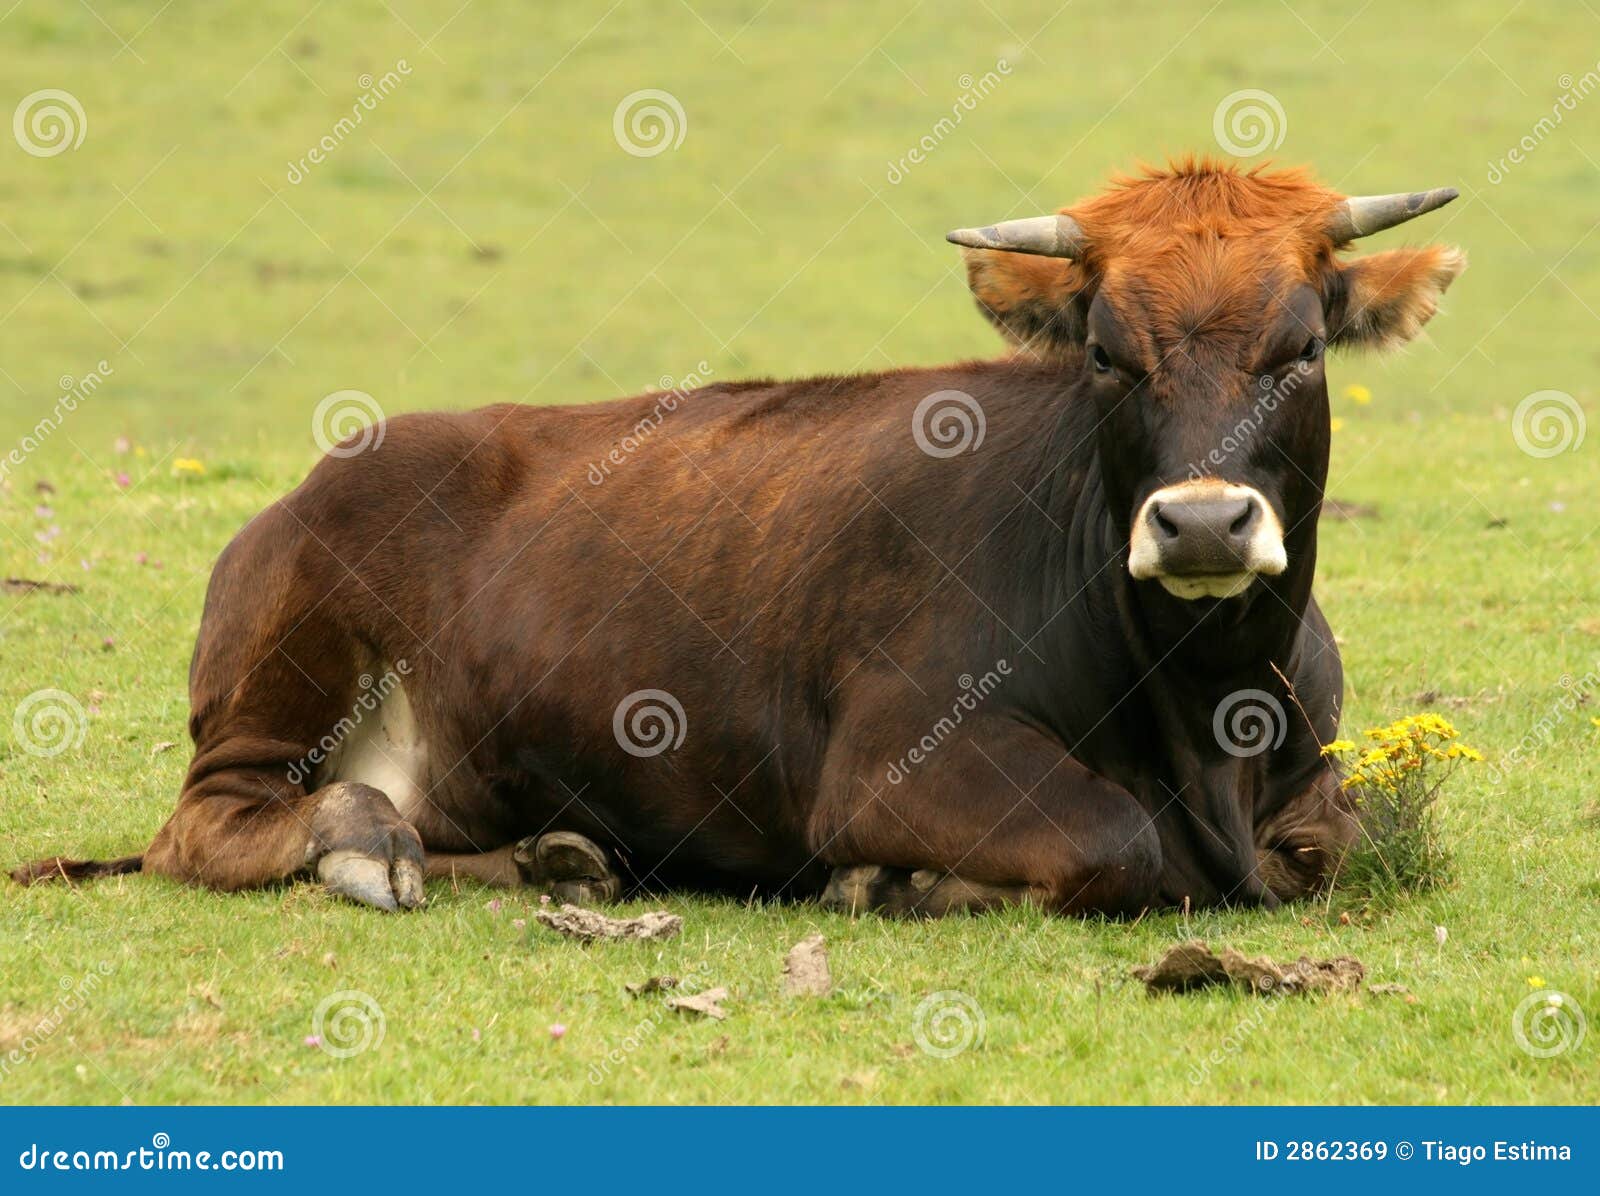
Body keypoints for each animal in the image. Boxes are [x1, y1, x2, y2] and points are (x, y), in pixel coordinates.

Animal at [14, 159, 1464, 917]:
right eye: (1108, 352)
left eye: (1302, 346)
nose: (1204, 518)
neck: (1204, 710)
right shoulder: (895, 760)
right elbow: (1119, 846)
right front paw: (900, 885)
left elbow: (1330, 842)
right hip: (283, 674)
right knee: (206, 824)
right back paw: (360, 841)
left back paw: (553, 853)